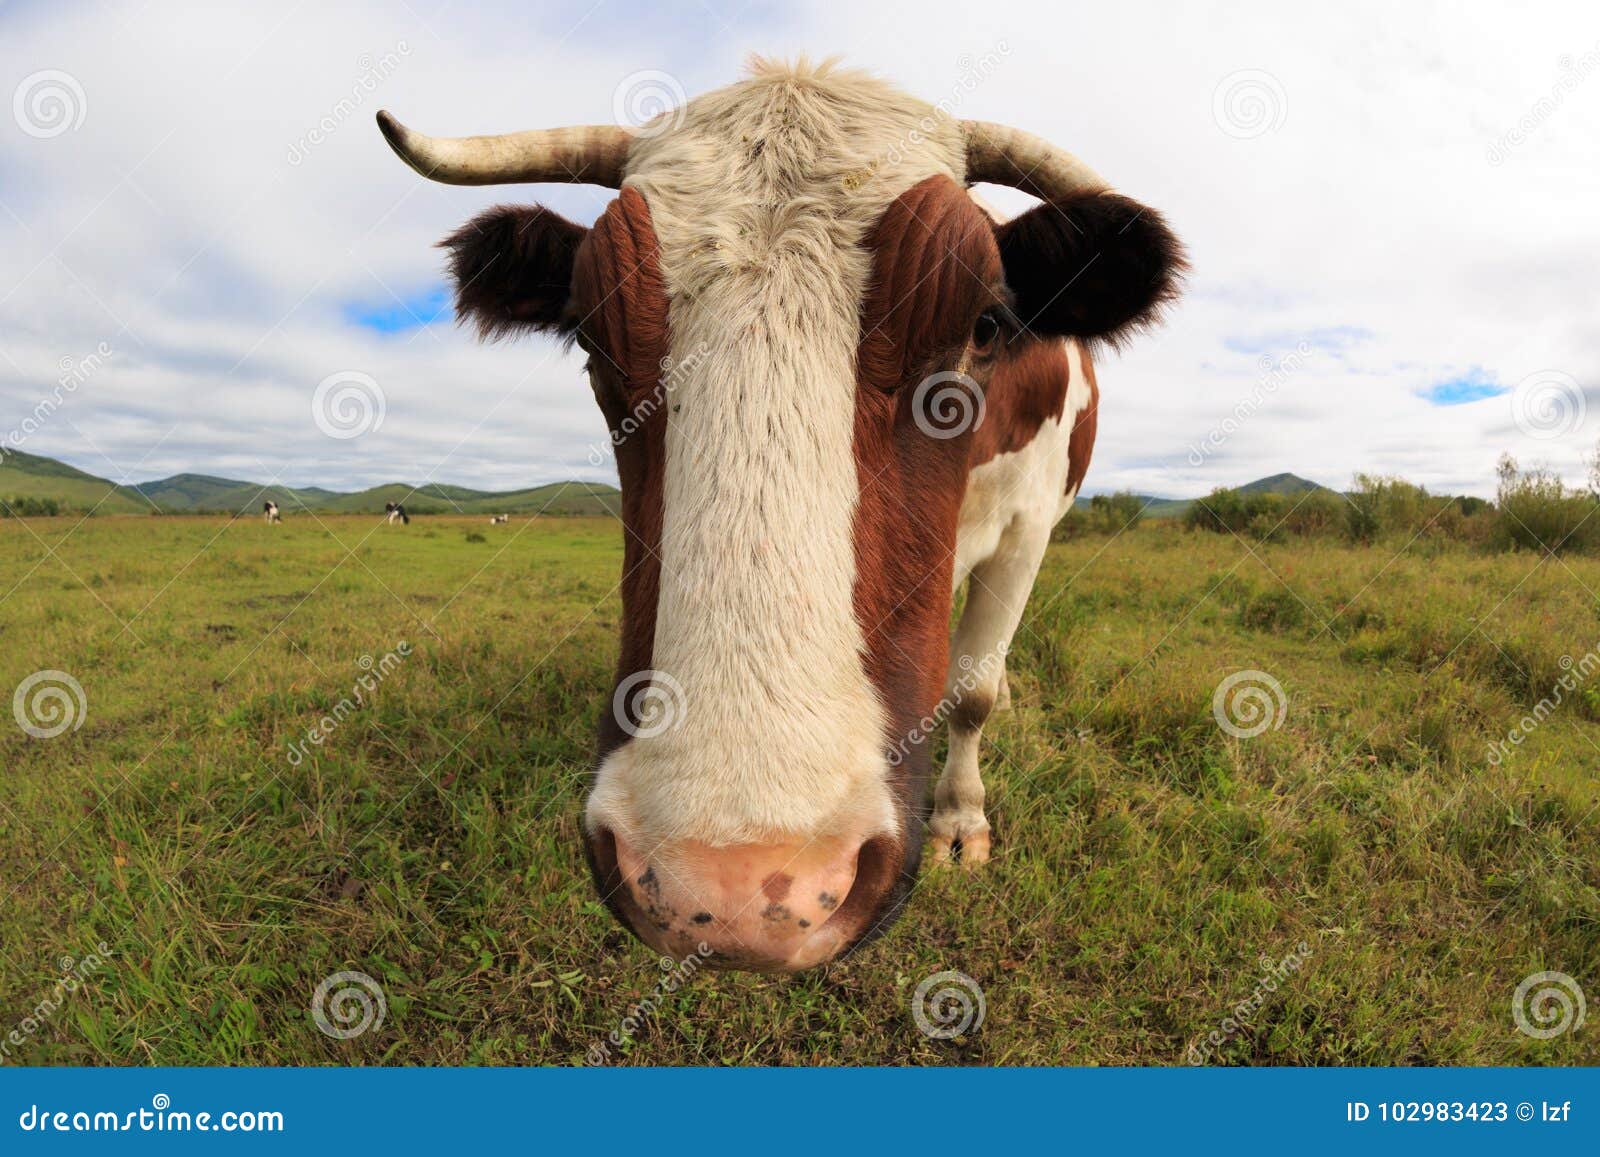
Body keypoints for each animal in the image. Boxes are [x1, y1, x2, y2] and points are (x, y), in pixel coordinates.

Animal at [377, 59, 1182, 971]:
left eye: (986, 325)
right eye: (588, 336)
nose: (729, 887)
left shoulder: (1030, 526)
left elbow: (972, 691)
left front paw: (960, 818)